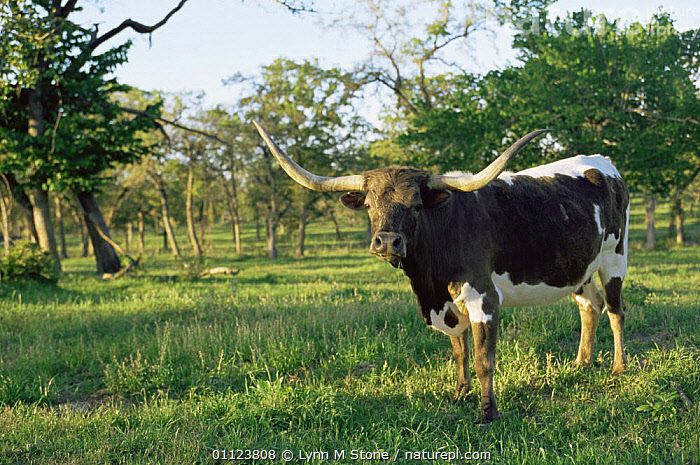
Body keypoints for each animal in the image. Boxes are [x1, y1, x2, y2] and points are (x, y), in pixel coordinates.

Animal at [253, 122, 629, 422]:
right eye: (370, 205)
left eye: (416, 205)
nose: (387, 241)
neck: (429, 280)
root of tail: (603, 162)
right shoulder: (444, 303)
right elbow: (459, 351)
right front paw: (461, 394)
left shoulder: (483, 299)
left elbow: (483, 359)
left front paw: (487, 412)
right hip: (578, 268)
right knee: (589, 307)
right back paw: (581, 363)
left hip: (614, 259)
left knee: (615, 311)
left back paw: (618, 368)